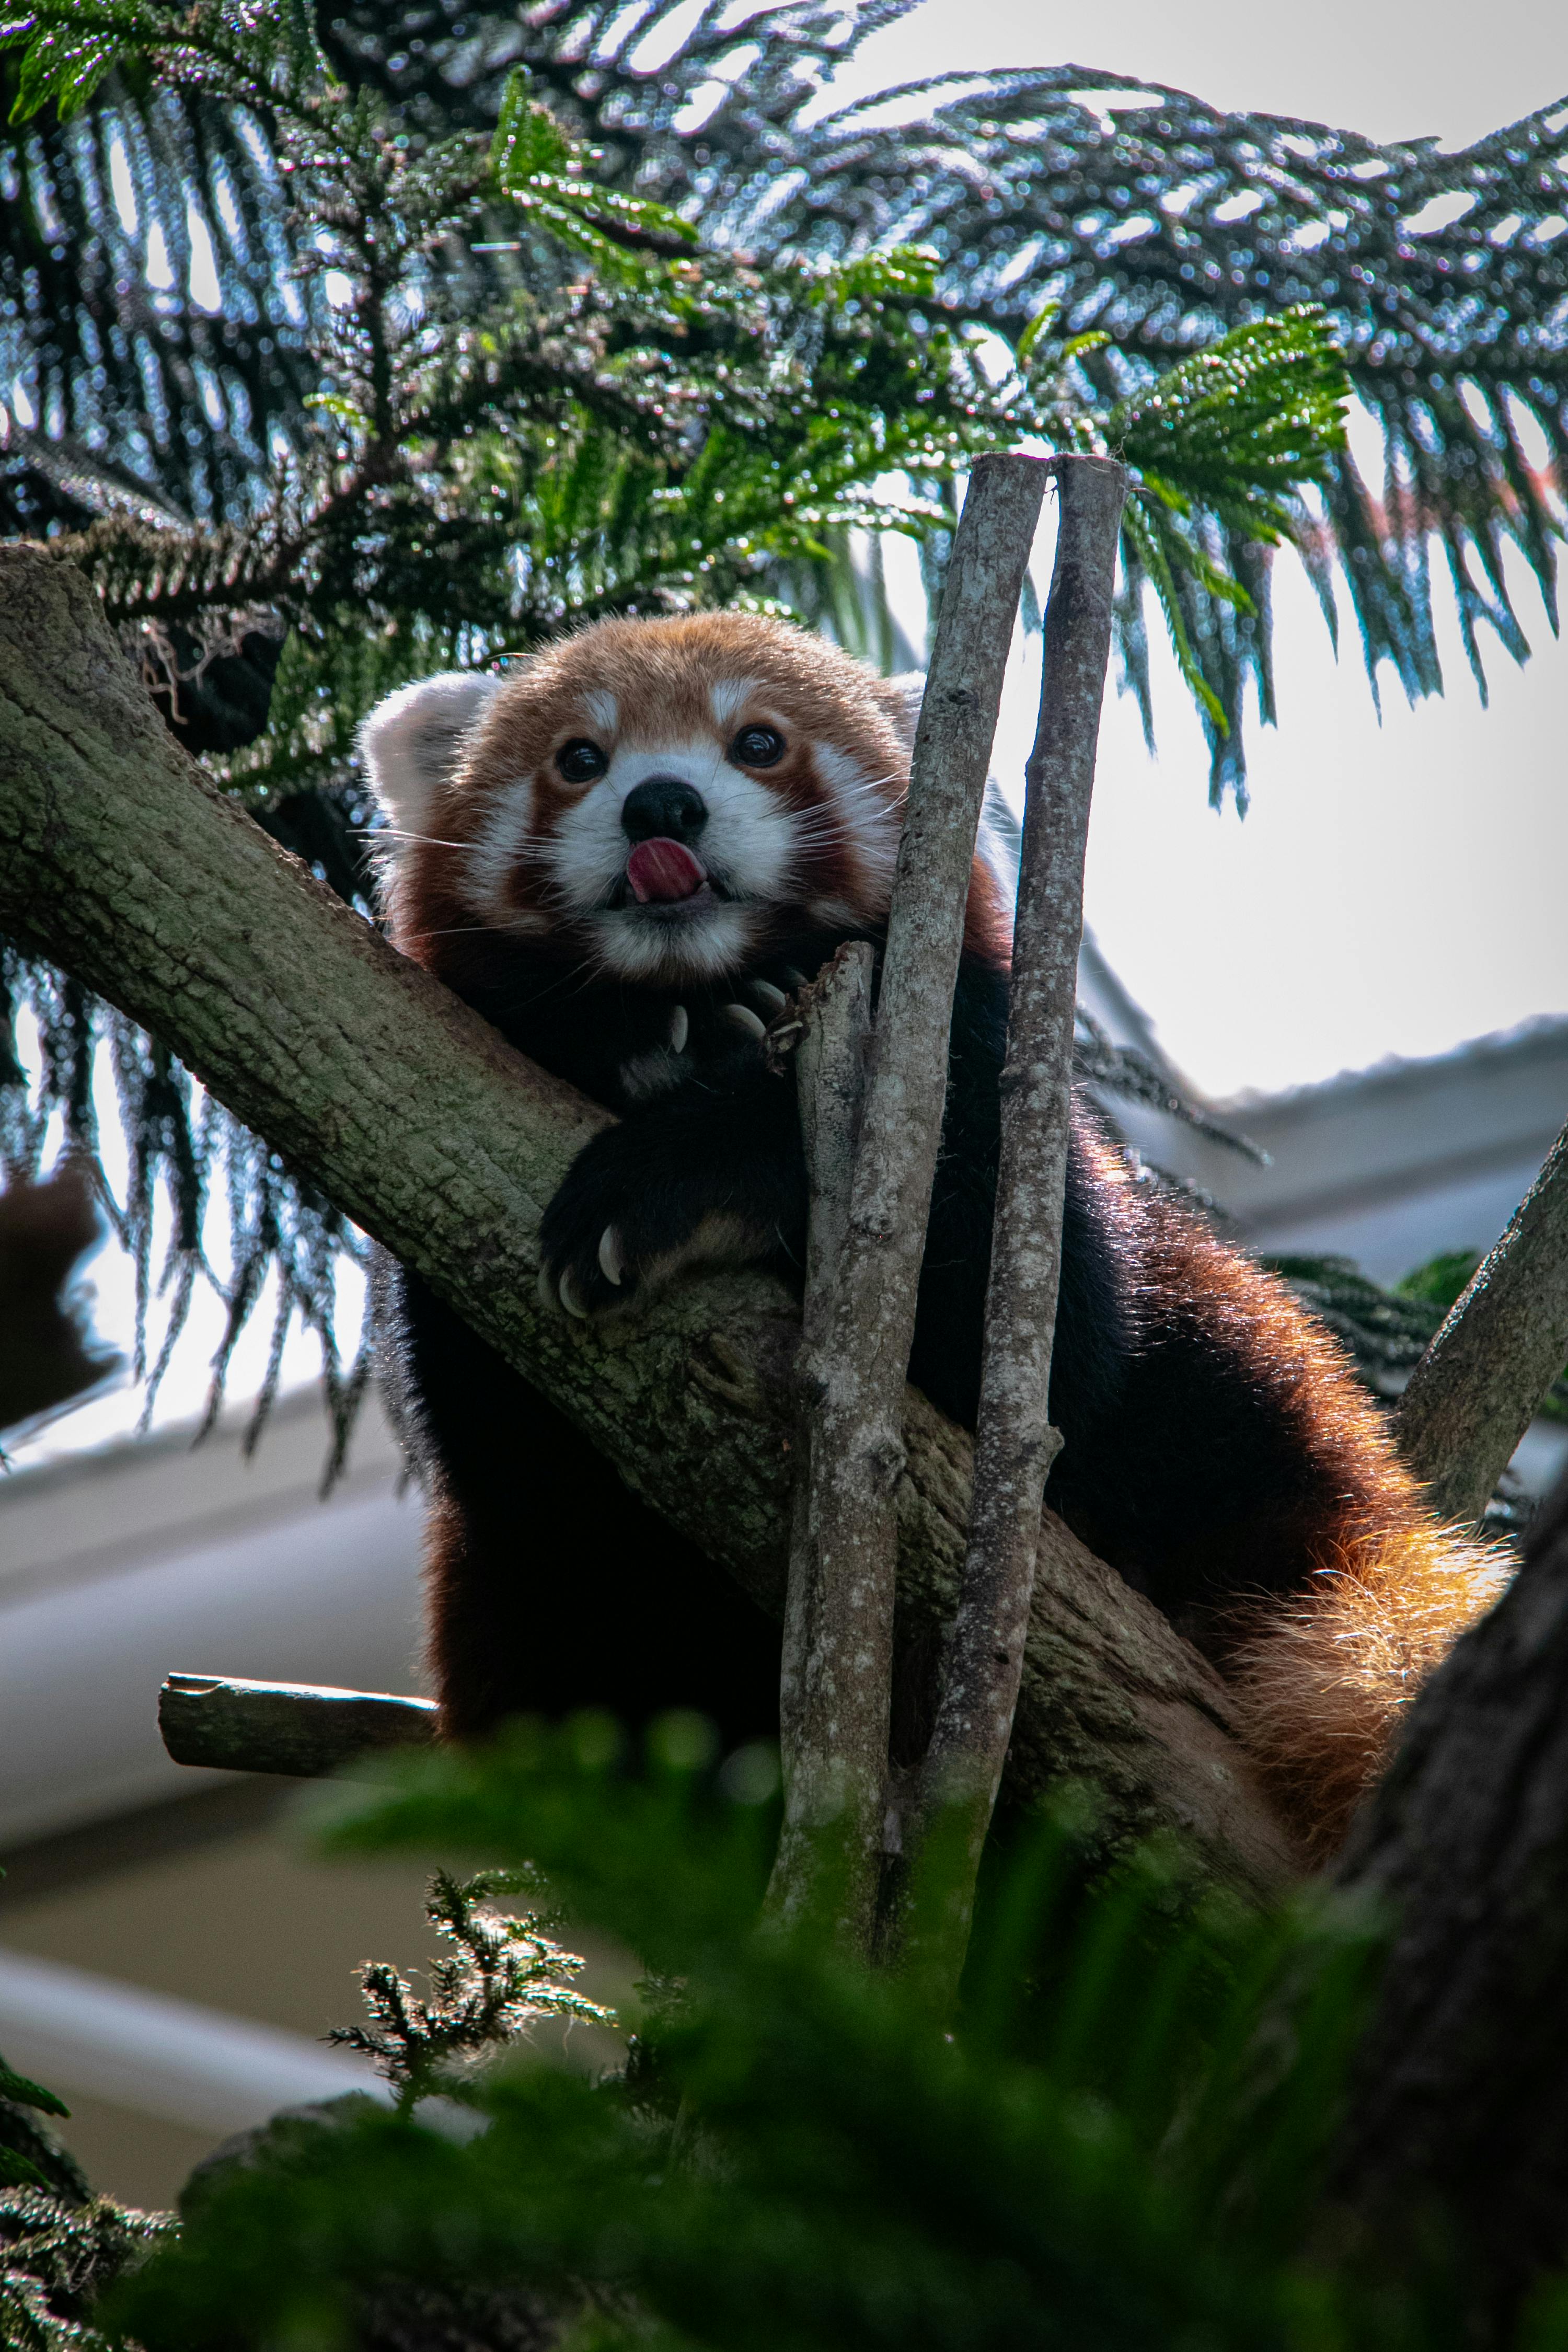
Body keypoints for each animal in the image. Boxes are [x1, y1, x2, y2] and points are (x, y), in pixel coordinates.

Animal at [361, 610, 1503, 1860]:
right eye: (579, 758)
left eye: (759, 742)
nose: (662, 805)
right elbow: (509, 1449)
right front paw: (670, 1052)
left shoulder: (1002, 1102)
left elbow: (1048, 1358)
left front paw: (699, 1166)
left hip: (1242, 1394)